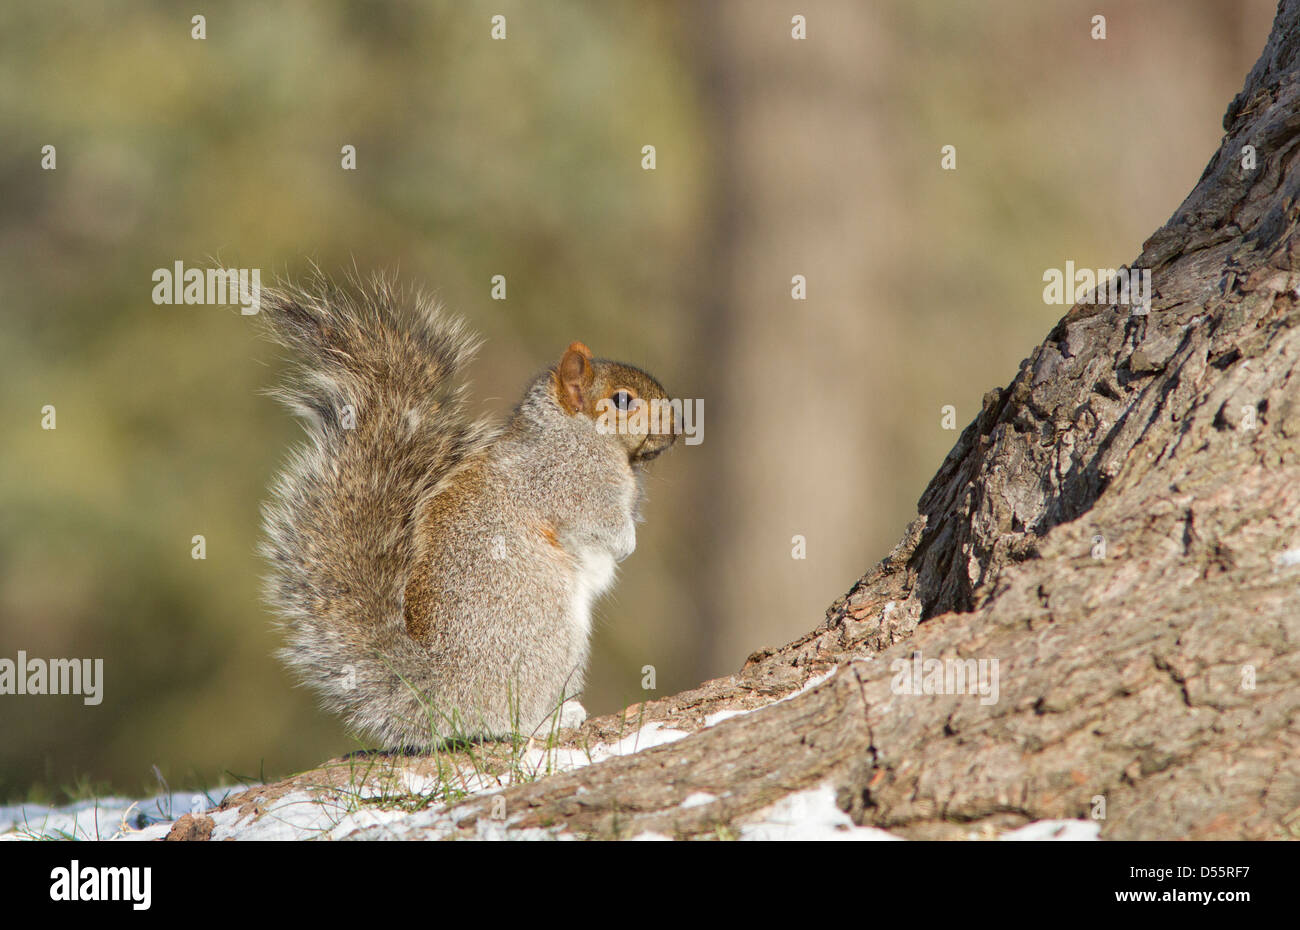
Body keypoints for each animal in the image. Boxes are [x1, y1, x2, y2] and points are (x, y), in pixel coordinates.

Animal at [257, 274, 677, 748]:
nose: (678, 427)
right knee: (510, 717)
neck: (576, 432)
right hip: (547, 634)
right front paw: (627, 544)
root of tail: (446, 693)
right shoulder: (570, 486)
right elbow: (601, 524)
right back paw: (555, 717)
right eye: (622, 400)